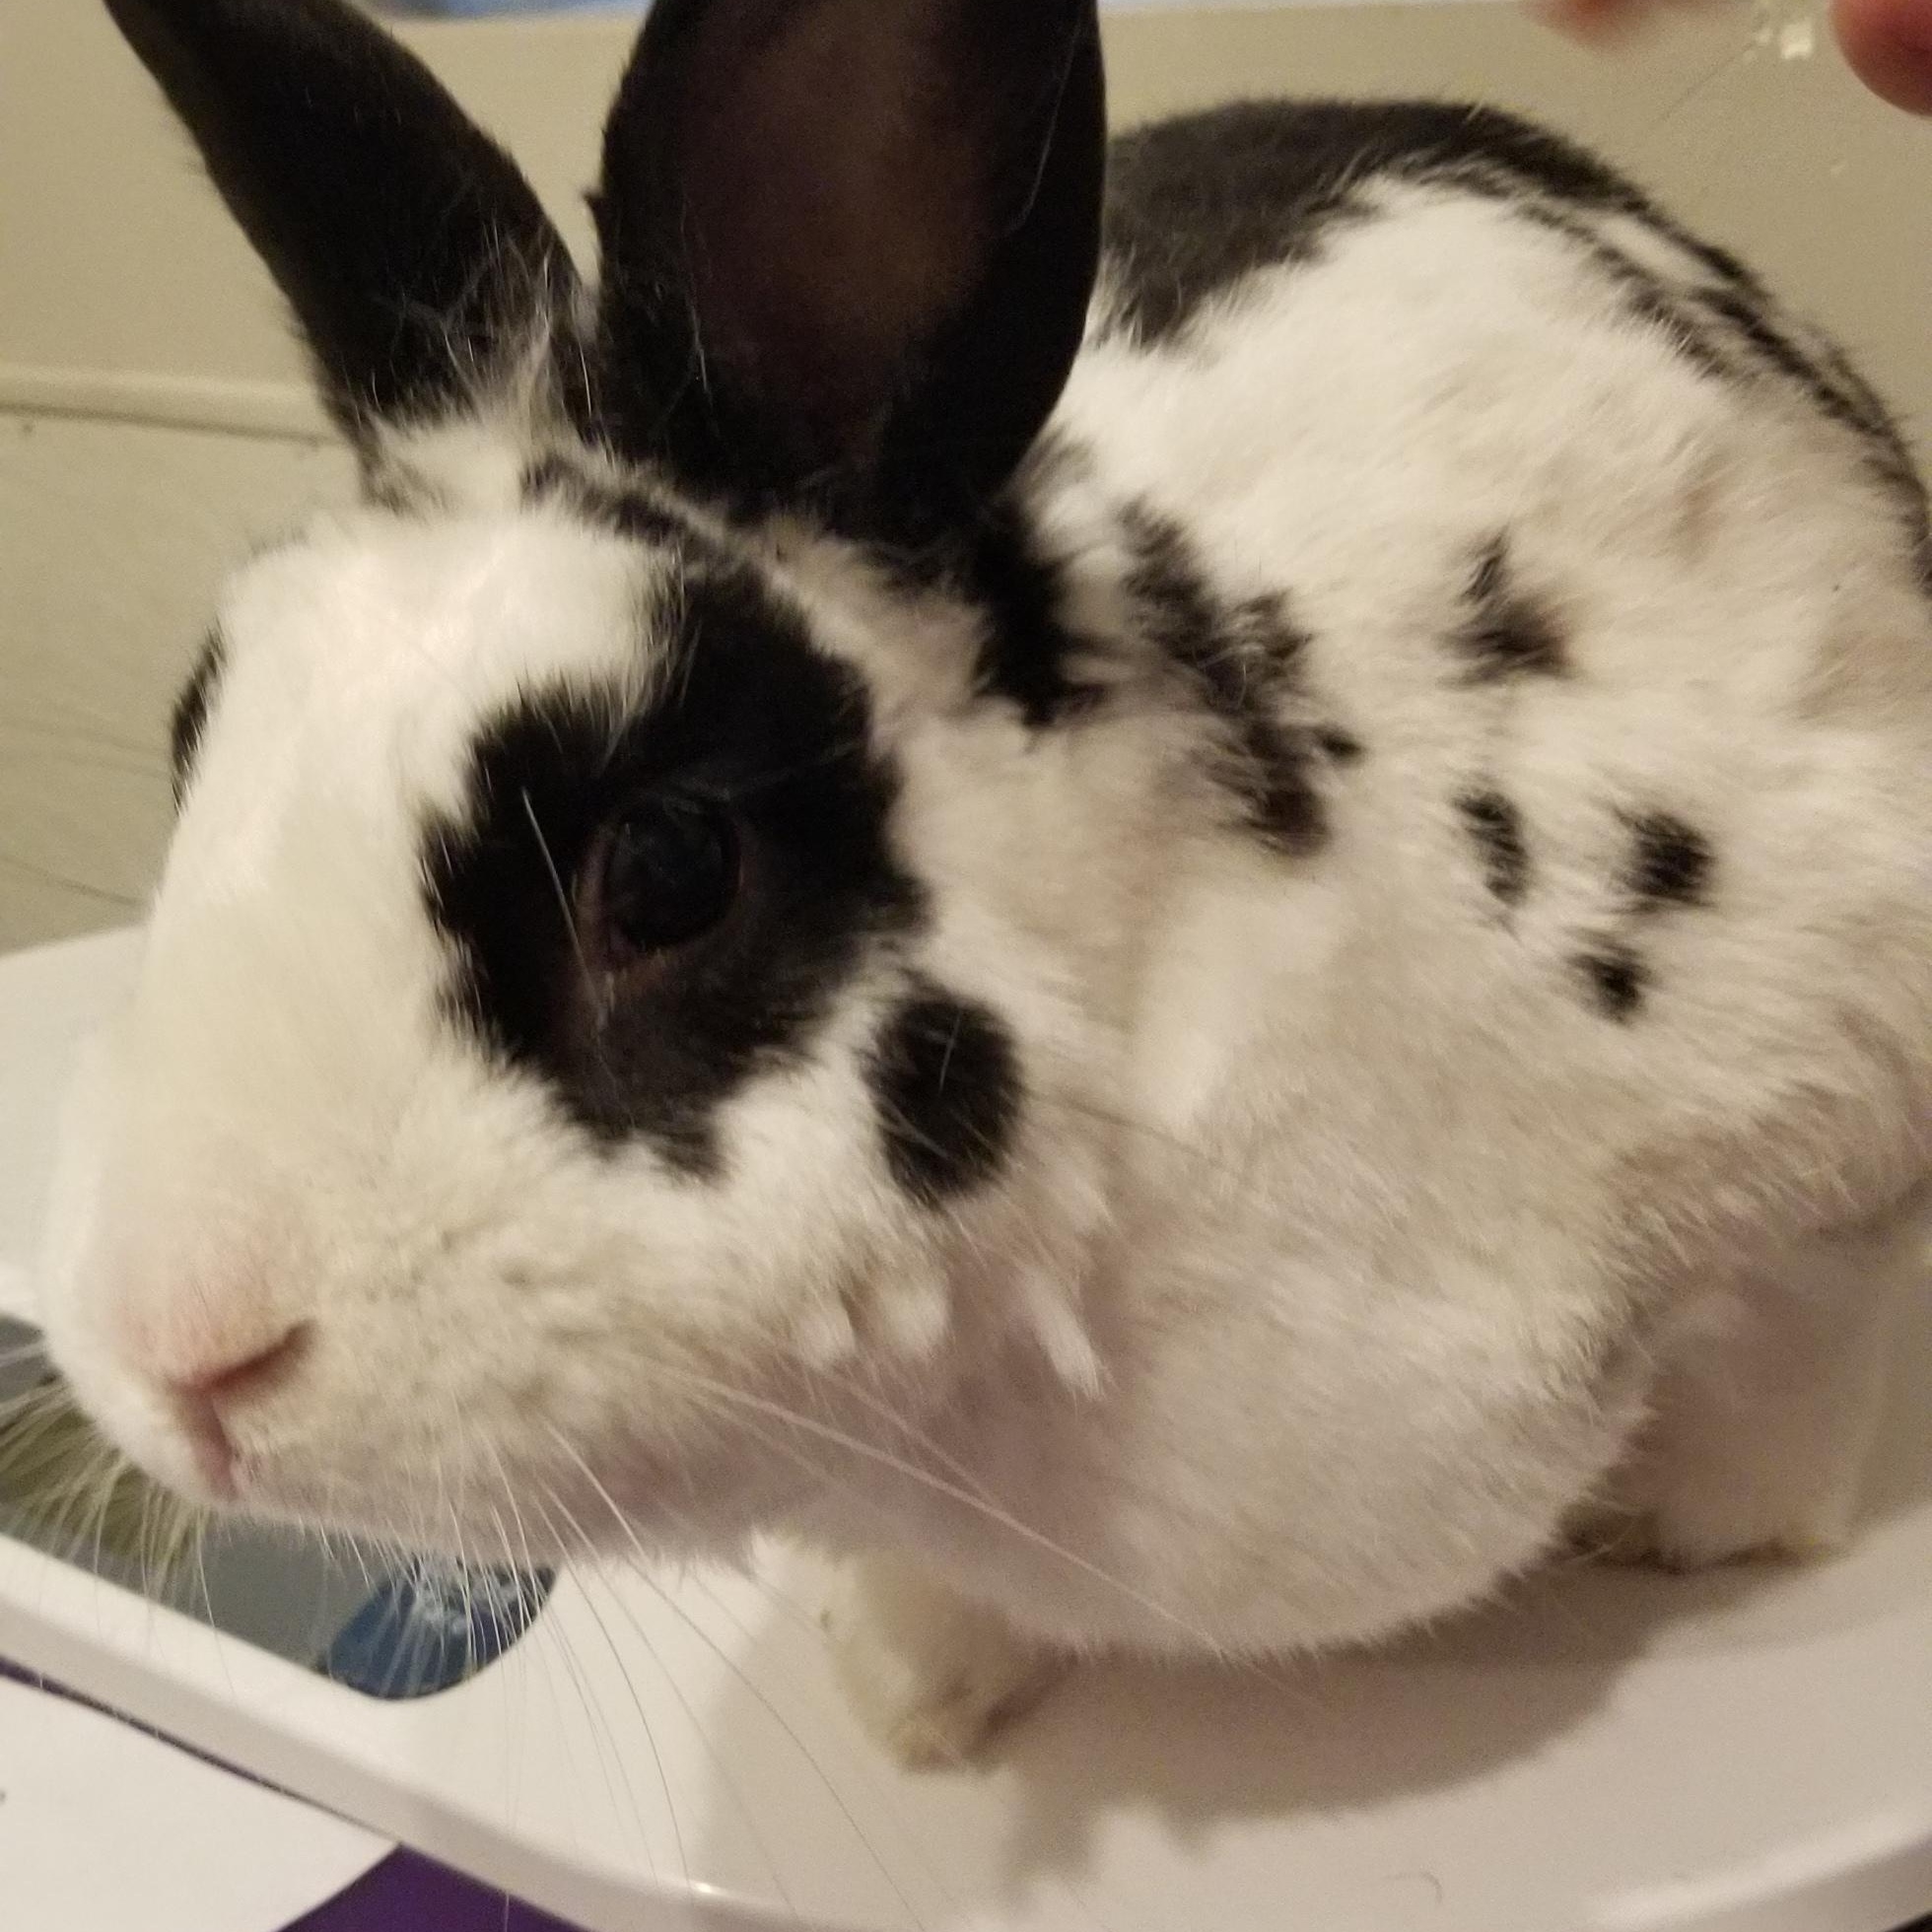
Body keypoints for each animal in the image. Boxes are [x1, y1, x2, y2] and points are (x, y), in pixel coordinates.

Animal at [40, 0, 1932, 1769]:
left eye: (668, 869)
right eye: (200, 733)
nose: (186, 1357)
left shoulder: (1845, 1096)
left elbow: (1814, 1339)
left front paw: (1709, 1532)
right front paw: (910, 1705)